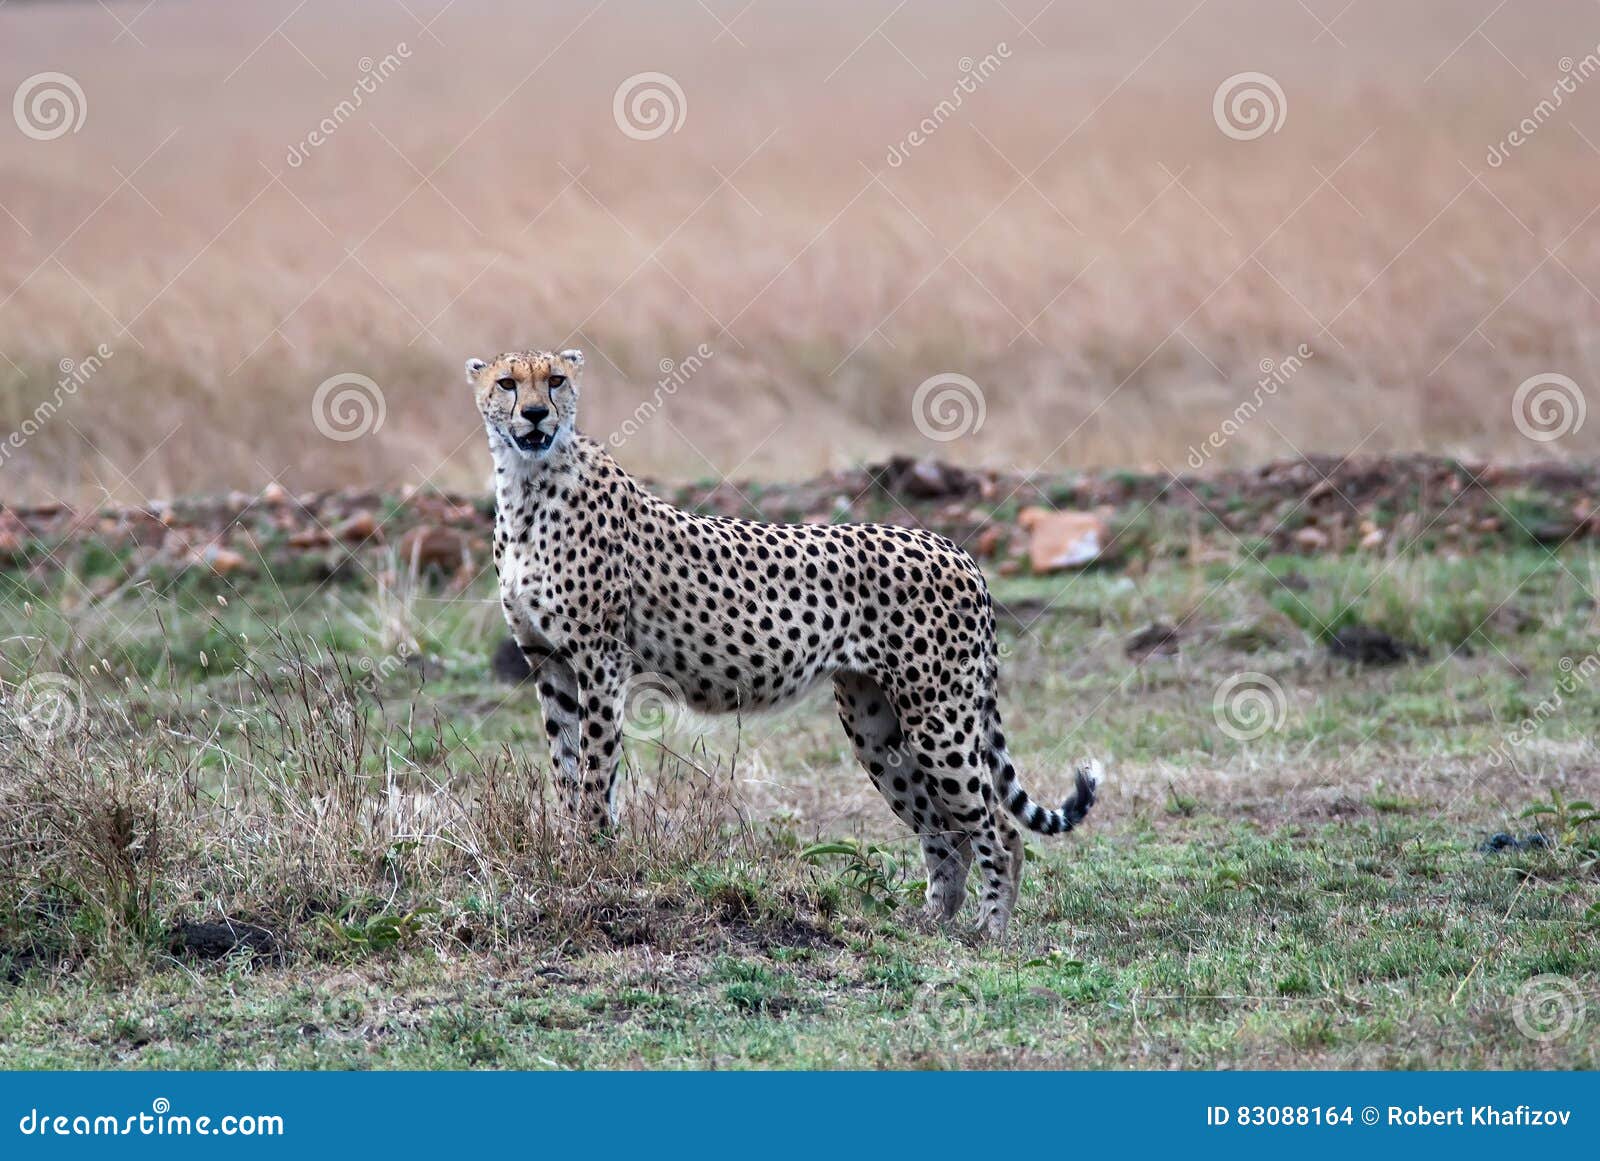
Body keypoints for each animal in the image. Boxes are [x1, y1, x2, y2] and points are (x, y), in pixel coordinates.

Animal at [467, 347, 1101, 938]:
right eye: (508, 383)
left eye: (555, 380)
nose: (535, 414)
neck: (528, 484)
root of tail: (953, 547)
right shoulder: (549, 664)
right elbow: (565, 768)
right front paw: (566, 854)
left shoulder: (599, 661)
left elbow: (597, 772)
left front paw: (593, 862)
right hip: (876, 728)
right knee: (946, 831)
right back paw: (928, 926)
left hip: (939, 717)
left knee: (999, 829)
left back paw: (990, 932)